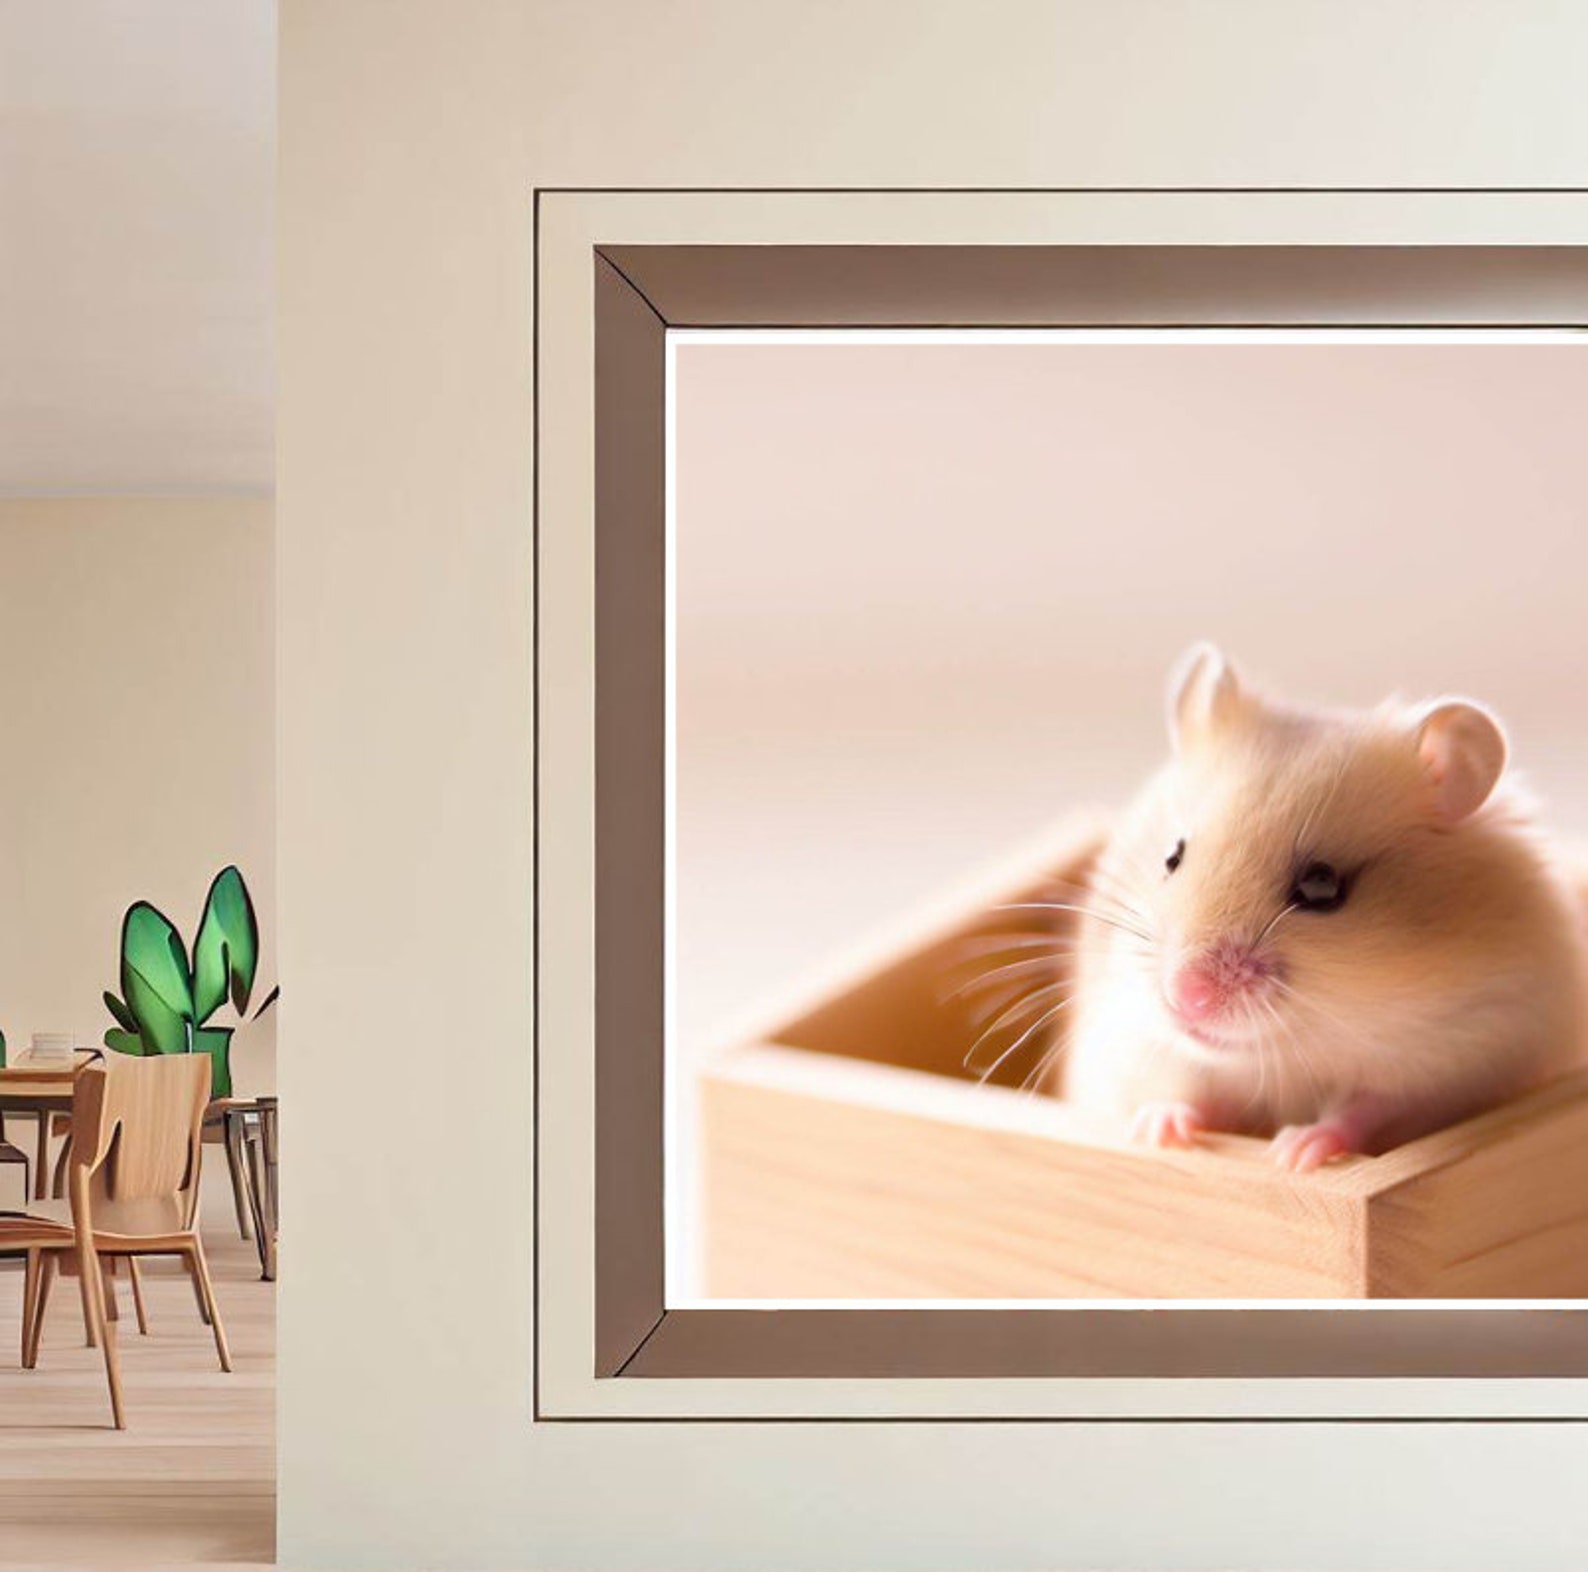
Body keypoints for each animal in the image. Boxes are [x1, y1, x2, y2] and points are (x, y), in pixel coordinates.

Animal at [1059, 644, 1588, 1172]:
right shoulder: (1155, 1050)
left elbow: (1361, 1110)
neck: (1291, 1054)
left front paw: (1294, 1153)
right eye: (1172, 855)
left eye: (1321, 887)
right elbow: (1190, 1090)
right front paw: (1159, 1133)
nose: (1187, 998)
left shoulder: (1457, 1062)